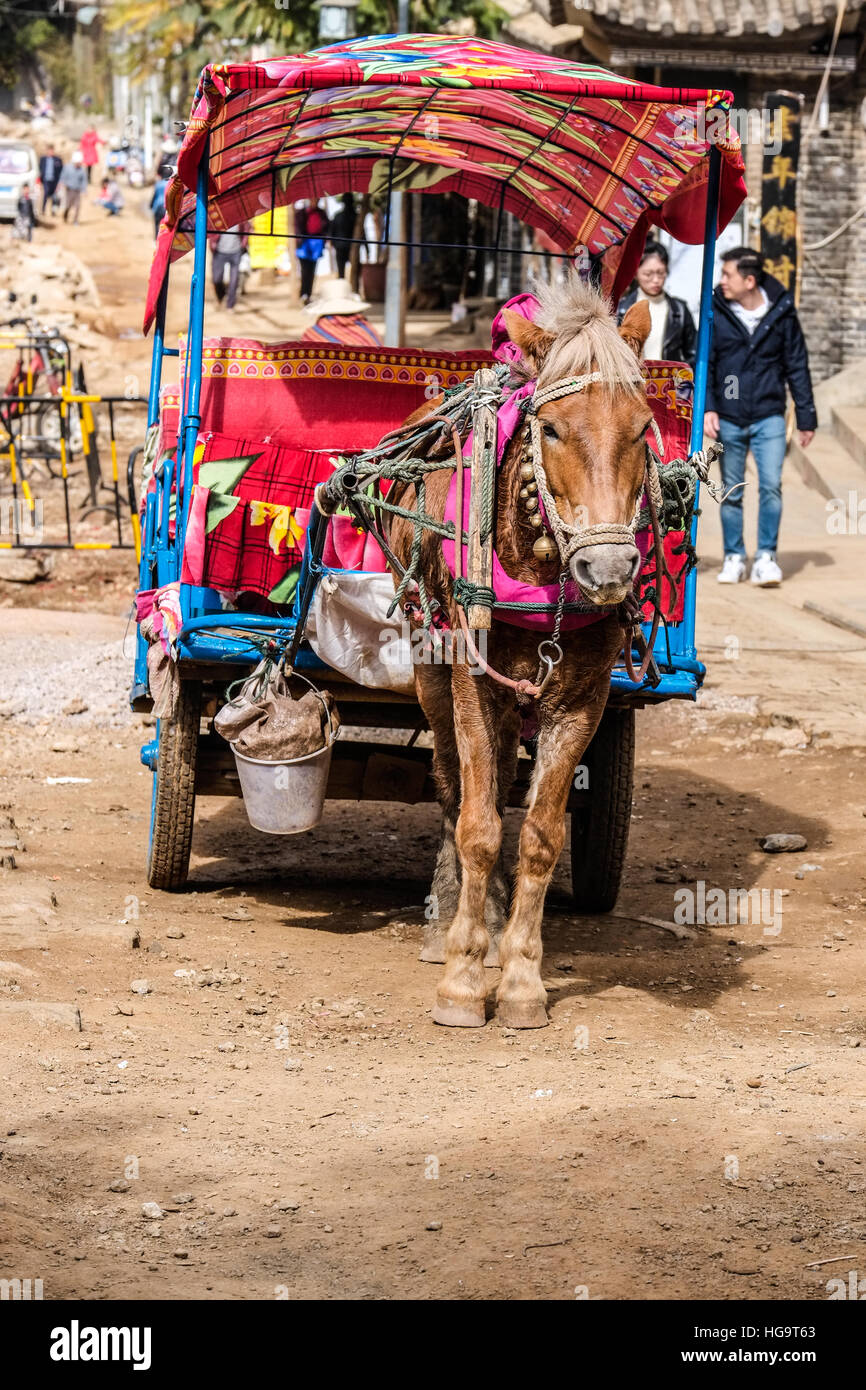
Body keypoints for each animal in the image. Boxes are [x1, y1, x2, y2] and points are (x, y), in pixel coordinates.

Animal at [387, 275, 653, 1030]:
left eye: (642, 429)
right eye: (554, 429)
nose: (607, 567)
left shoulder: (583, 701)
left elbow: (538, 833)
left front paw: (523, 978)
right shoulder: (473, 684)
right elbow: (477, 825)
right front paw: (461, 977)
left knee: (500, 781)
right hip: (431, 667)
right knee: (454, 788)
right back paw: (448, 918)